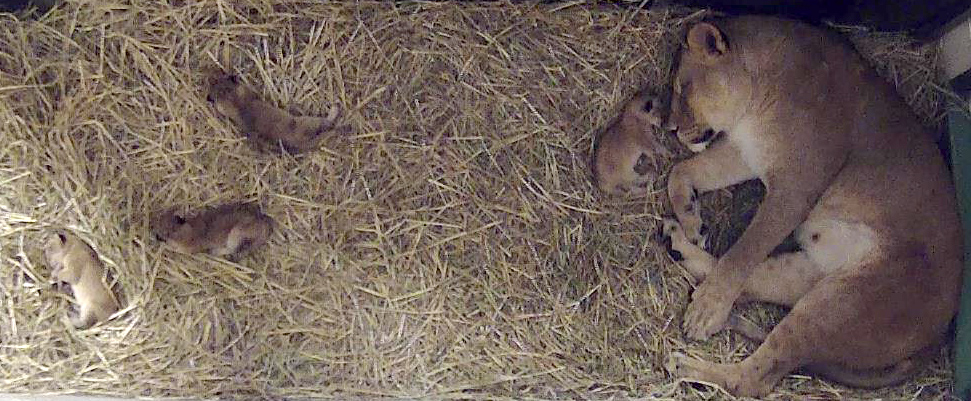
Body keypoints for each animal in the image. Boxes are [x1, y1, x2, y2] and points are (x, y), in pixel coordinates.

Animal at [657, 16, 962, 397]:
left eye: (682, 87)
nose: (670, 128)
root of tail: (939, 336)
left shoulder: (796, 189)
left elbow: (744, 251)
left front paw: (707, 309)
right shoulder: (747, 153)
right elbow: (680, 172)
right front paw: (691, 219)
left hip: (840, 306)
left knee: (753, 378)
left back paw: (687, 357)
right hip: (807, 276)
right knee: (751, 283)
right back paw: (679, 244)